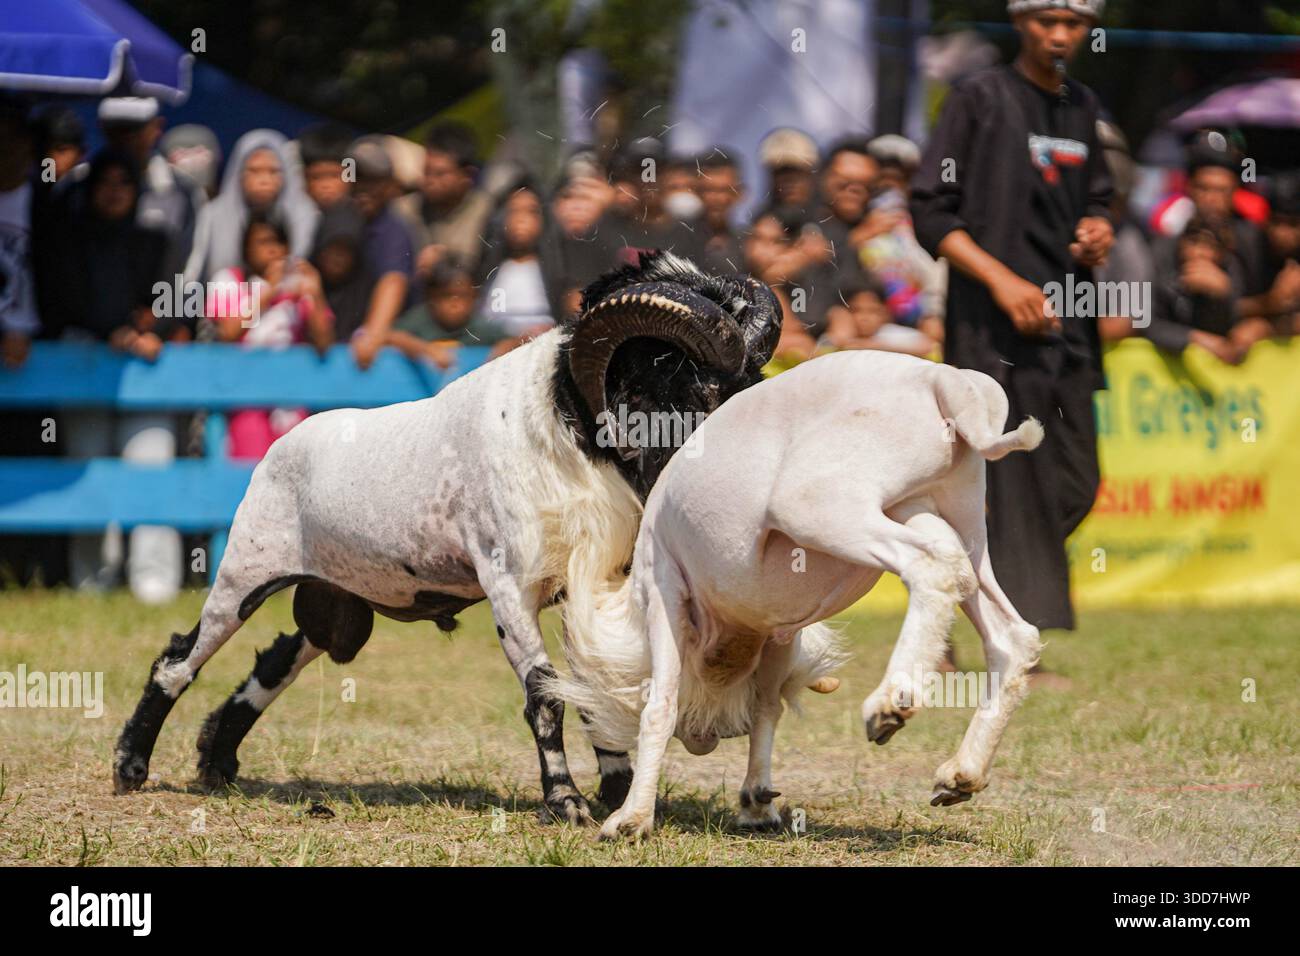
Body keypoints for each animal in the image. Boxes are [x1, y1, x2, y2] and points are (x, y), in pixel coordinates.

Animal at [111, 252, 783, 824]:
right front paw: (565, 803)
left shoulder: (582, 583)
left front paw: (616, 794)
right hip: (245, 571)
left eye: (752, 381)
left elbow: (587, 684)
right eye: (695, 386)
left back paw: (217, 761)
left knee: (280, 657)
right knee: (179, 659)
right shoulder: (507, 583)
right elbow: (546, 694)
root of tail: (281, 445)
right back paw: (131, 767)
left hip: (336, 602)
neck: (566, 428)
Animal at [548, 349, 1045, 840]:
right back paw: (962, 774)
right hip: (950, 512)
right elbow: (767, 707)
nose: (705, 740)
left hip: (818, 505)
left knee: (932, 566)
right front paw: (756, 803)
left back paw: (890, 704)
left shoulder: (663, 588)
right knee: (1003, 625)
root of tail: (943, 381)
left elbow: (660, 705)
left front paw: (629, 821)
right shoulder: (778, 631)